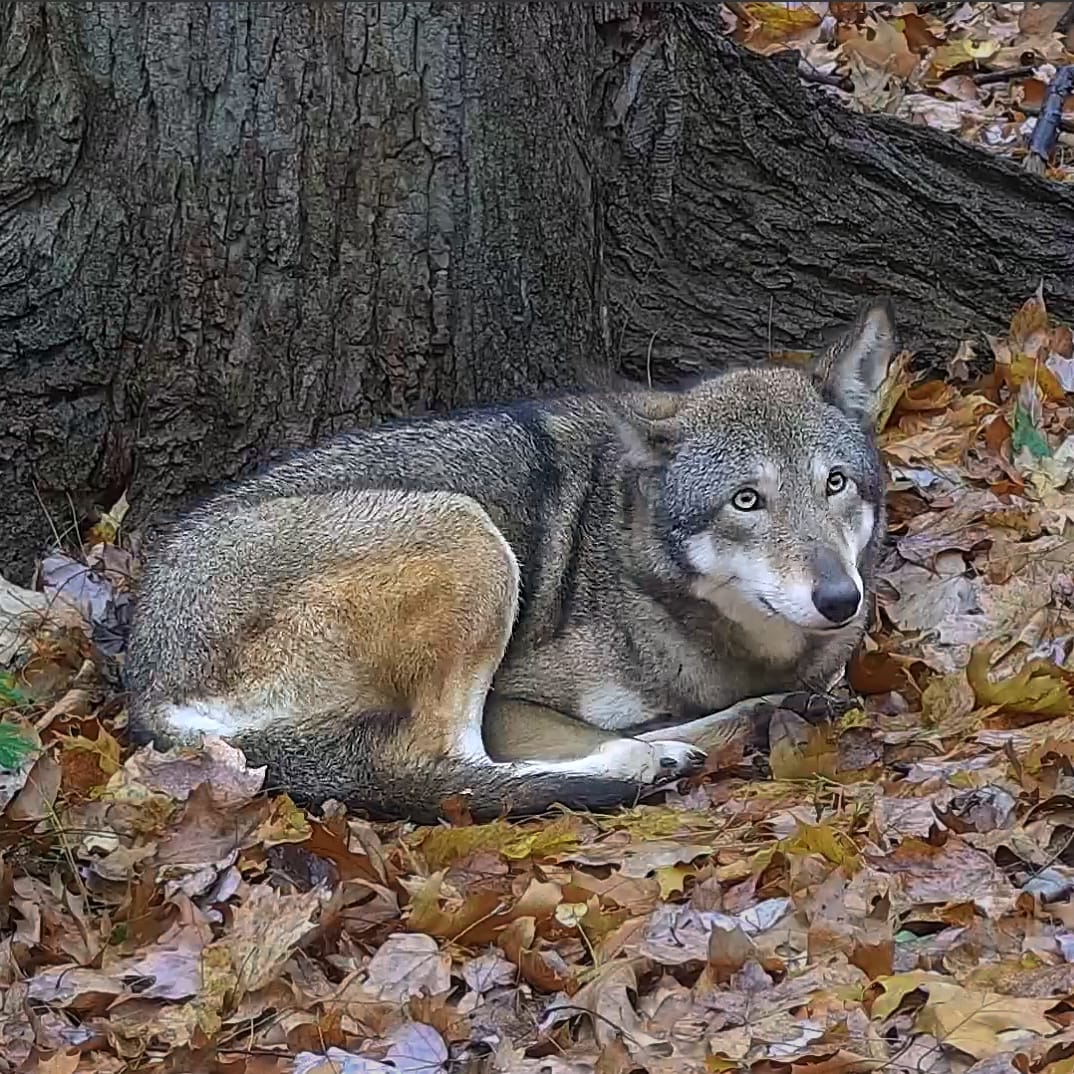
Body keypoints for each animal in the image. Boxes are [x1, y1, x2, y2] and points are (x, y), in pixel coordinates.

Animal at [123, 300, 896, 824]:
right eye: (746, 500)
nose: (840, 599)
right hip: (466, 535)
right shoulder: (510, 699)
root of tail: (144, 678)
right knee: (442, 765)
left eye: (834, 483)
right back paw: (649, 760)